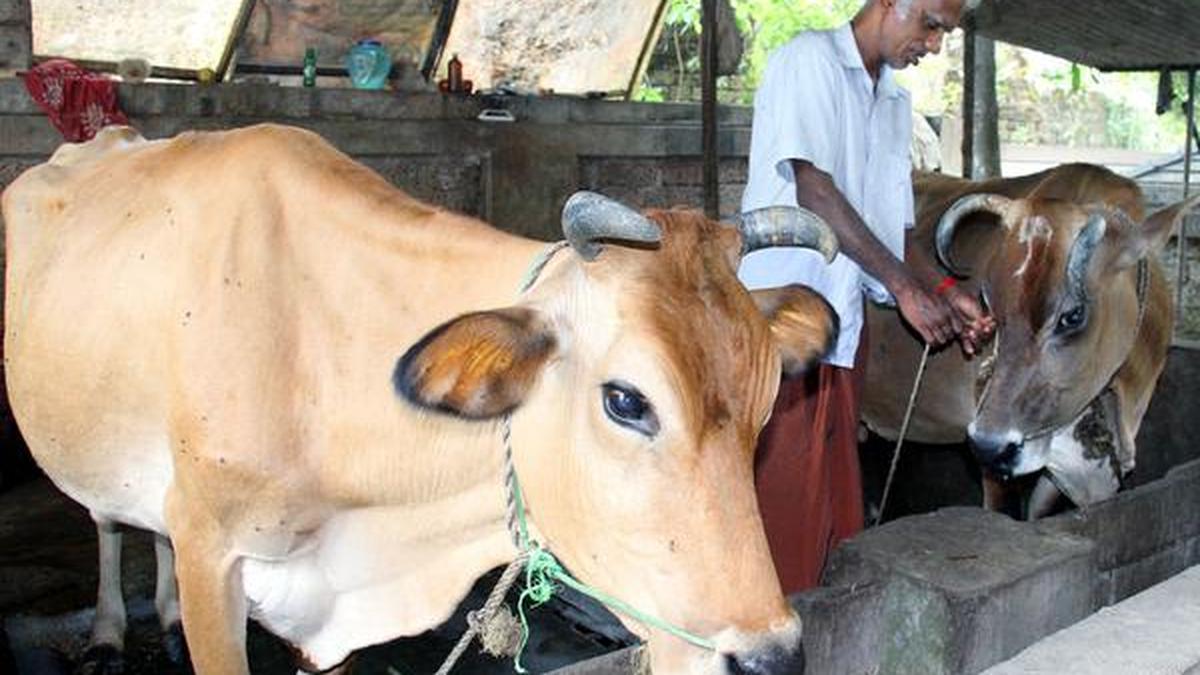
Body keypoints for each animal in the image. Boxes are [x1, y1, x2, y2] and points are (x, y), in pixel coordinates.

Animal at [3, 123, 842, 675]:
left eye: (770, 398)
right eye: (627, 400)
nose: (771, 657)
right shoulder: (213, 550)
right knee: (107, 518)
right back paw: (112, 629)